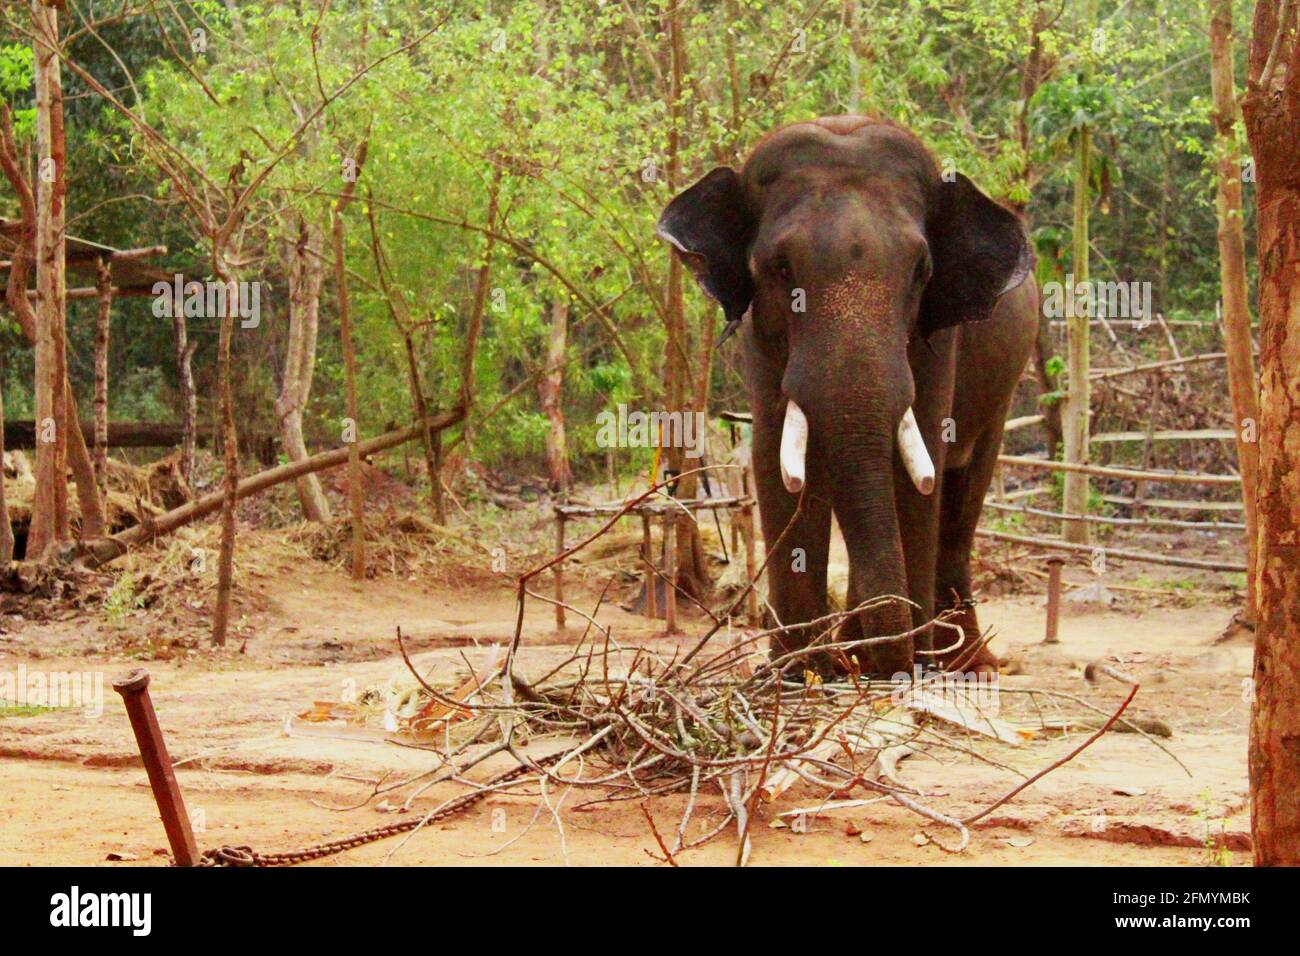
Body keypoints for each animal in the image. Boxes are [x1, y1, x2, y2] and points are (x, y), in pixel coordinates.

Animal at [657, 116, 1038, 677]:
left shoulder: (938, 335)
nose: (900, 657)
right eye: (781, 269)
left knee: (962, 493)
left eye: (921, 271)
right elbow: (775, 458)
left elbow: (919, 457)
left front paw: (908, 667)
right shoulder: (758, 335)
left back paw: (965, 663)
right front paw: (798, 675)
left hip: (1004, 388)